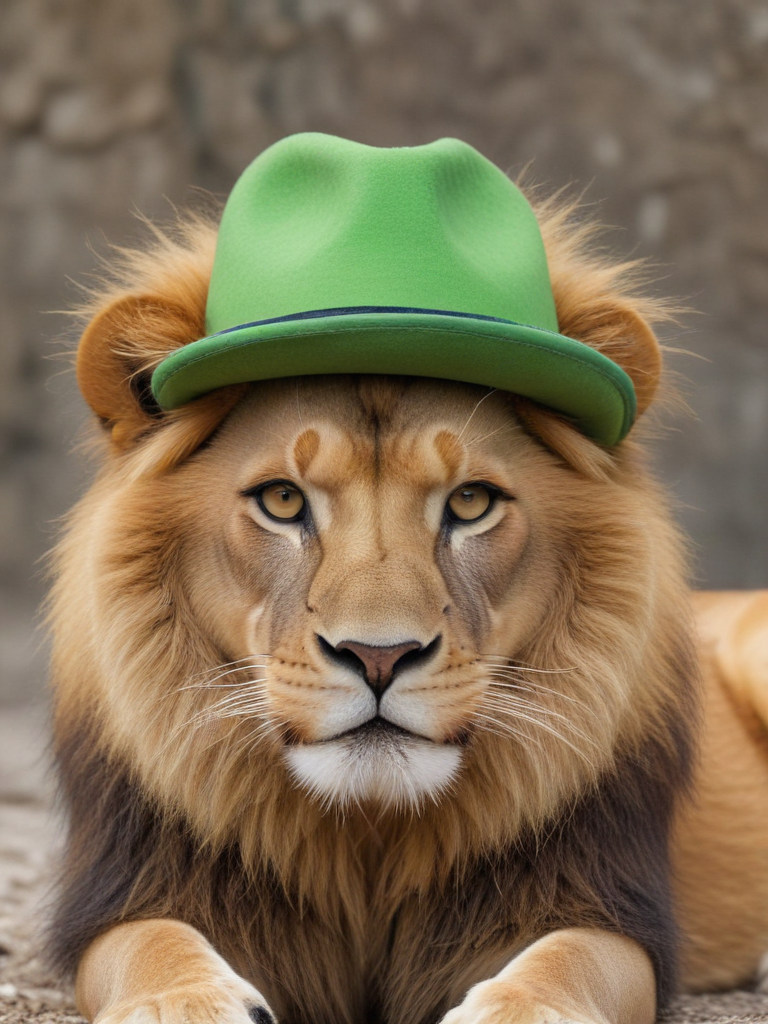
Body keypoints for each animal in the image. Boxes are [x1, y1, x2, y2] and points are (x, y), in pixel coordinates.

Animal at [46, 173, 768, 1024]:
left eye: (470, 503)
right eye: (283, 500)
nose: (378, 656)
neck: (368, 835)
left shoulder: (605, 904)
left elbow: (568, 962)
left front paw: (515, 1011)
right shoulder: (131, 891)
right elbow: (151, 945)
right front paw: (184, 1005)